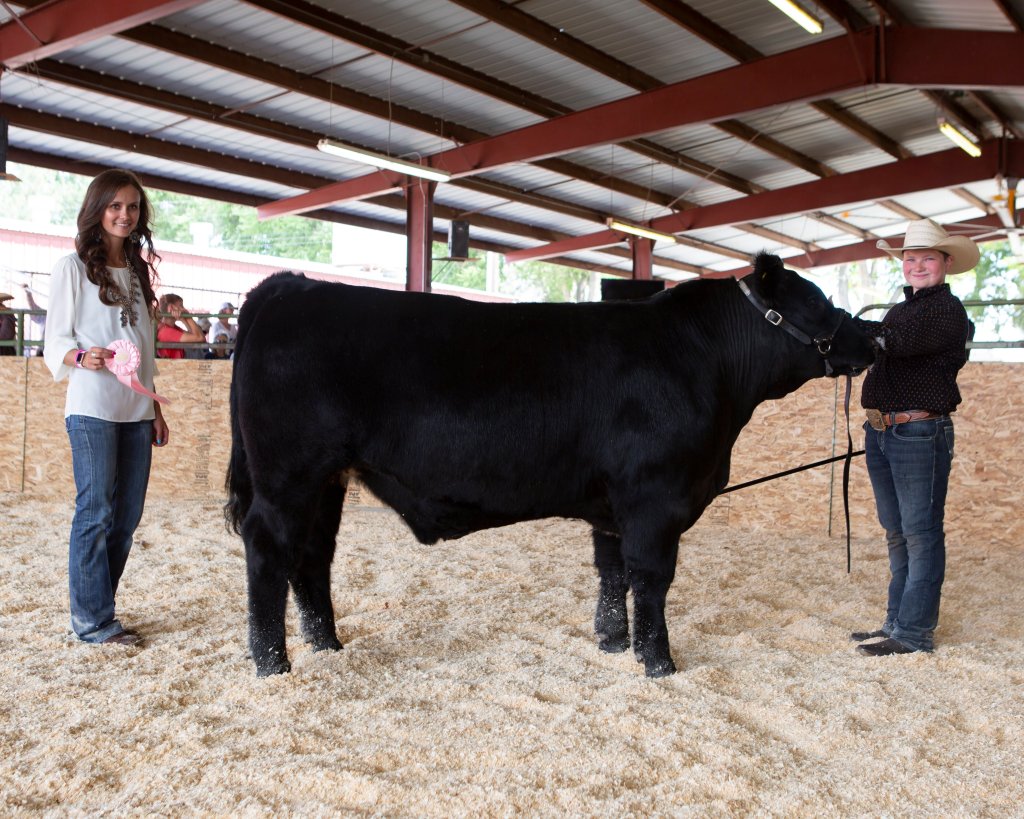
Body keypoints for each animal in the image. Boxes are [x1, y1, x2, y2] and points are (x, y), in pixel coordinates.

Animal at [226, 252, 875, 678]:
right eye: (815, 302)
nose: (874, 338)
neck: (703, 356)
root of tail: (293, 288)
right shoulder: (655, 496)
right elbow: (651, 578)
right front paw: (659, 663)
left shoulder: (616, 504)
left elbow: (613, 574)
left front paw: (613, 644)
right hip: (289, 475)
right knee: (269, 550)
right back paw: (272, 664)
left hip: (327, 481)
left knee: (312, 557)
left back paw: (327, 647)